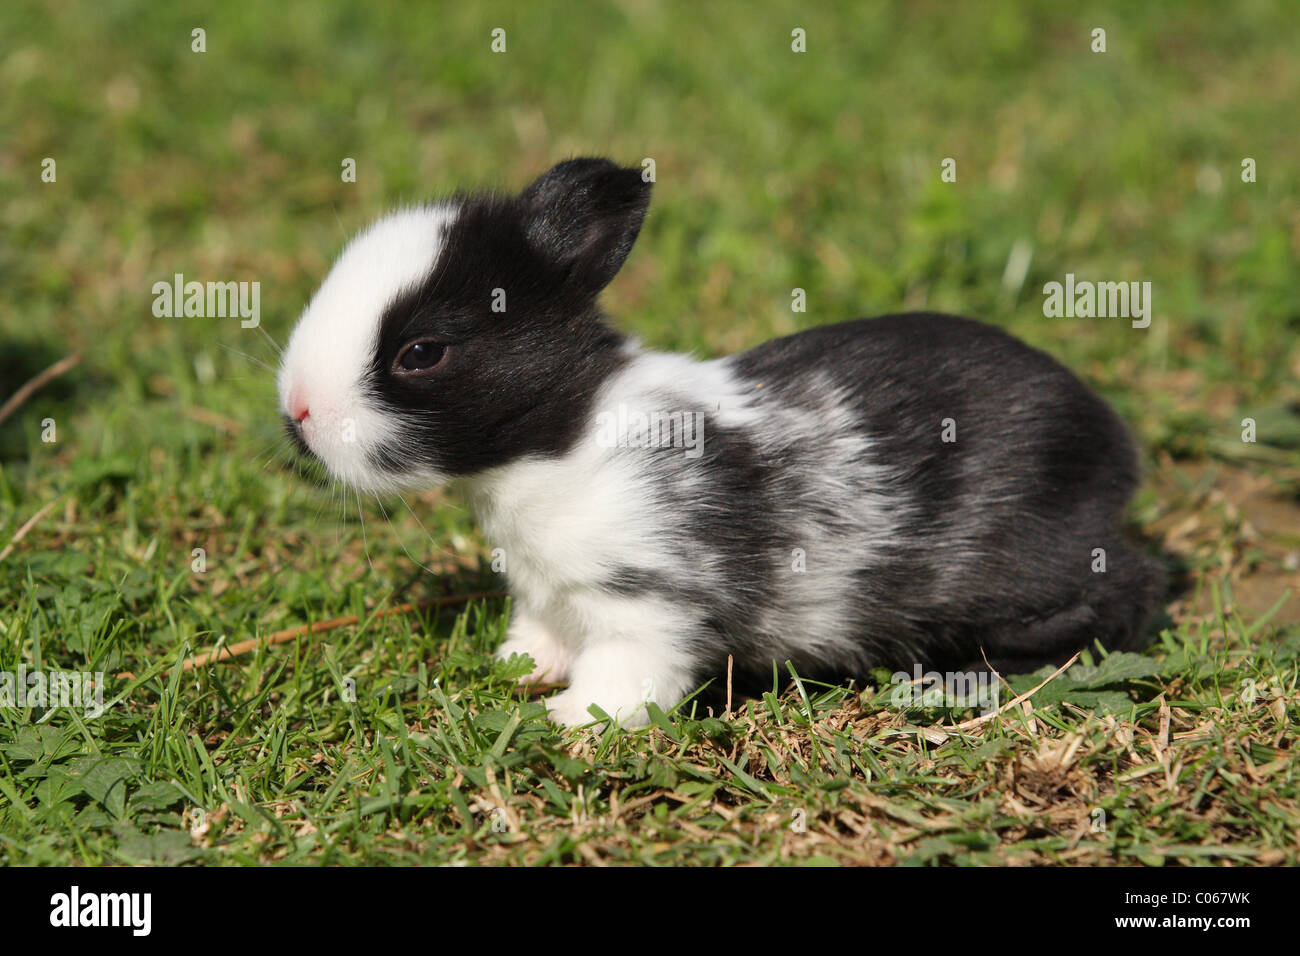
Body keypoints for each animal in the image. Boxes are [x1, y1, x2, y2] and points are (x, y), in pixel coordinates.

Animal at [278, 157, 1165, 727]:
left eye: (422, 352)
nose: (297, 413)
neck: (566, 441)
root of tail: (1112, 445)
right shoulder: (545, 596)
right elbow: (539, 636)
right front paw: (518, 671)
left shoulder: (647, 605)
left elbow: (627, 676)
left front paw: (571, 721)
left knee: (1125, 598)